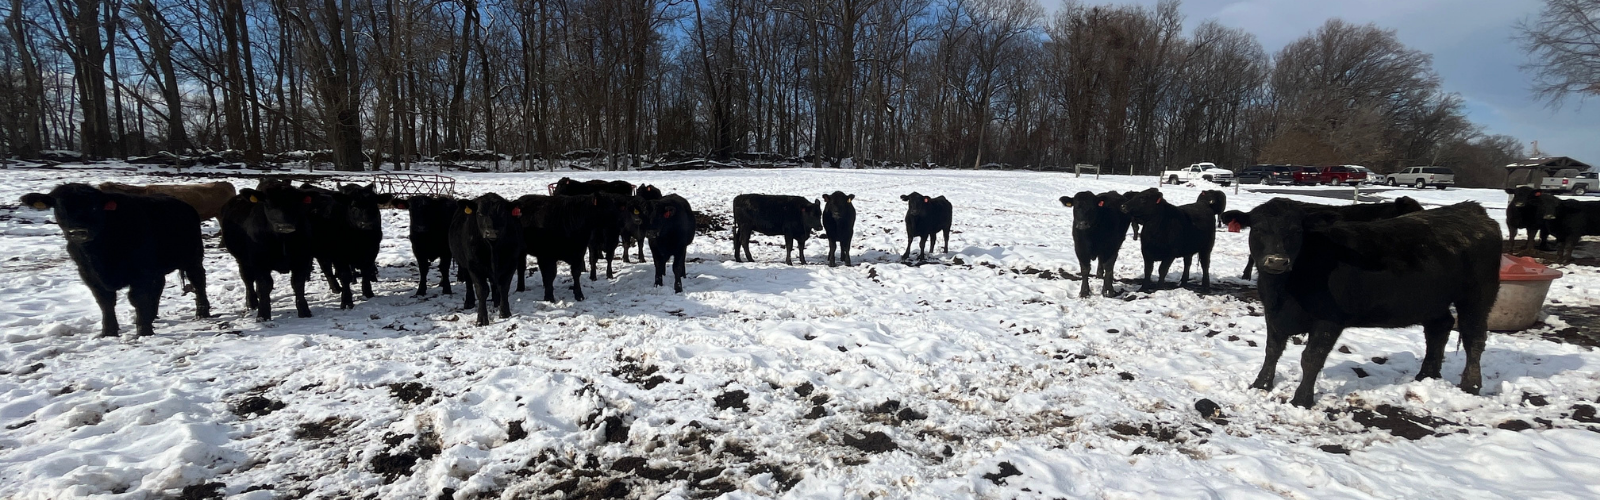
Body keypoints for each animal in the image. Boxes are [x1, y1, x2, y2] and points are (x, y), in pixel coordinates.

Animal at [20, 184, 211, 336]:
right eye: (59, 207)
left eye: (94, 207)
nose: (78, 232)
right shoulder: (87, 273)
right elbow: (105, 301)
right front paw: (108, 331)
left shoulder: (140, 270)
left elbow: (137, 298)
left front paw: (143, 331)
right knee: (159, 286)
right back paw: (152, 315)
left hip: (192, 257)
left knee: (198, 280)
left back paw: (202, 312)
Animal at [218, 184, 318, 320]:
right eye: (268, 204)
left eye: (295, 203)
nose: (285, 226)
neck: (282, 239)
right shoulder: (259, 262)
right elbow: (264, 285)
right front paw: (263, 315)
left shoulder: (302, 259)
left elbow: (298, 284)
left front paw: (304, 311)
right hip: (242, 260)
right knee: (247, 279)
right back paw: (252, 303)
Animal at [448, 193, 524, 326]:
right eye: (479, 213)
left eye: (503, 213)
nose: (492, 233)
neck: (493, 247)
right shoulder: (474, 265)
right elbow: (482, 290)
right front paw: (482, 319)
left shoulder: (511, 263)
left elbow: (504, 287)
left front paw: (505, 312)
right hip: (464, 265)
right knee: (469, 283)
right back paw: (469, 301)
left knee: (494, 283)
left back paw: (496, 300)